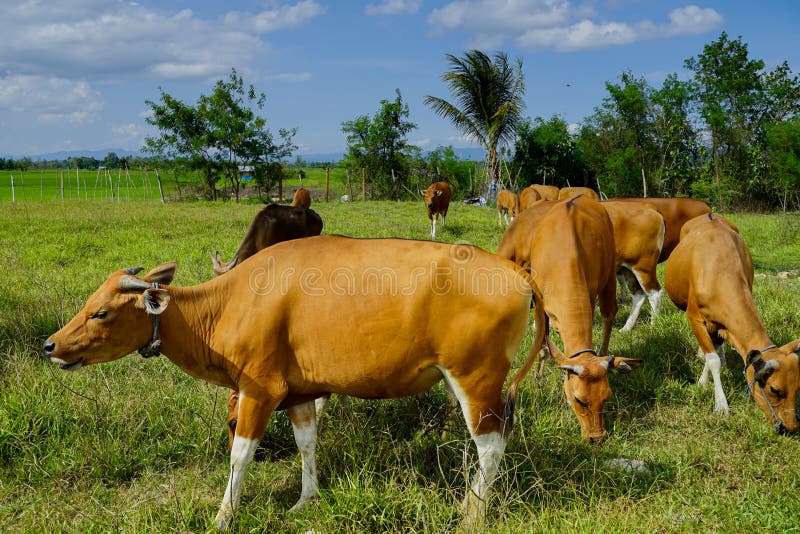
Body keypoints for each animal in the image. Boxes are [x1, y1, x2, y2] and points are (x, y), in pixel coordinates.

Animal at [44, 235, 534, 529]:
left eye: (101, 312)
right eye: (88, 302)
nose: (50, 345)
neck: (229, 303)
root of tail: (518, 274)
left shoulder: (259, 391)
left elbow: (241, 456)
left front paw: (224, 516)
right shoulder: (299, 395)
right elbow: (307, 444)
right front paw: (306, 500)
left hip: (476, 379)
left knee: (491, 444)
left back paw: (473, 512)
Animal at [502, 195, 642, 442]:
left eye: (607, 397)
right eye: (579, 400)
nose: (597, 437)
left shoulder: (591, 293)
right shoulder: (539, 303)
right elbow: (543, 342)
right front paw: (538, 377)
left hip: (609, 277)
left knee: (609, 314)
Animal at [664, 213, 800, 432]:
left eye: (798, 388)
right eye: (774, 389)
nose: (791, 427)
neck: (720, 271)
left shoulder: (723, 326)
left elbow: (713, 355)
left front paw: (705, 381)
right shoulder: (695, 318)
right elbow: (713, 359)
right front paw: (720, 404)